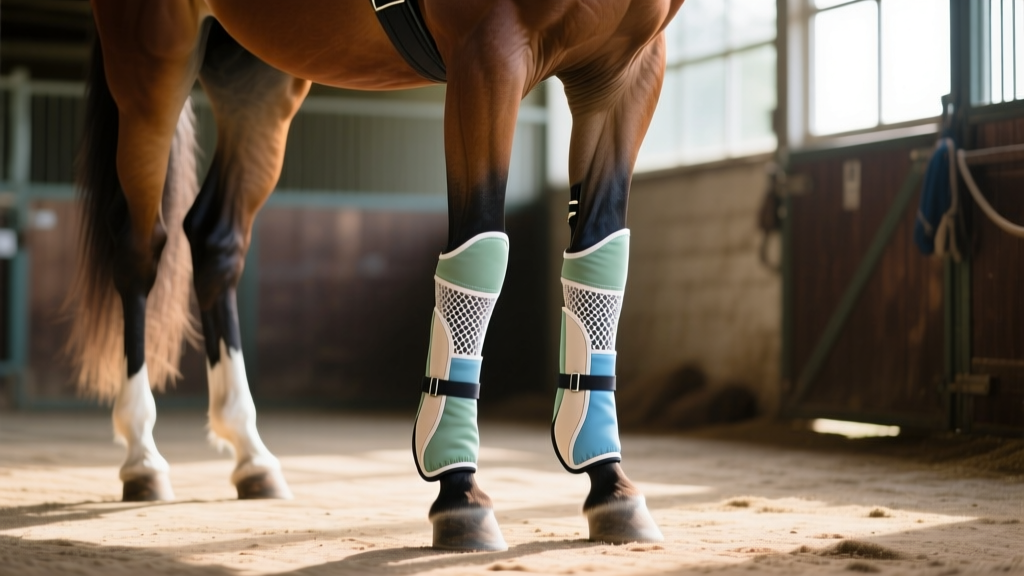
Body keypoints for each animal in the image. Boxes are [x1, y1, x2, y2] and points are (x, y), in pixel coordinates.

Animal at [69, 0, 684, 551]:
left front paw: (609, 484)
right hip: (152, 59)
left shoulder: (625, 68)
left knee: (214, 239)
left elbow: (599, 257)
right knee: (139, 248)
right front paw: (458, 491)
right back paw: (141, 454)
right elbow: (479, 251)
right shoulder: (488, 56)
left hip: (258, 78)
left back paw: (250, 453)